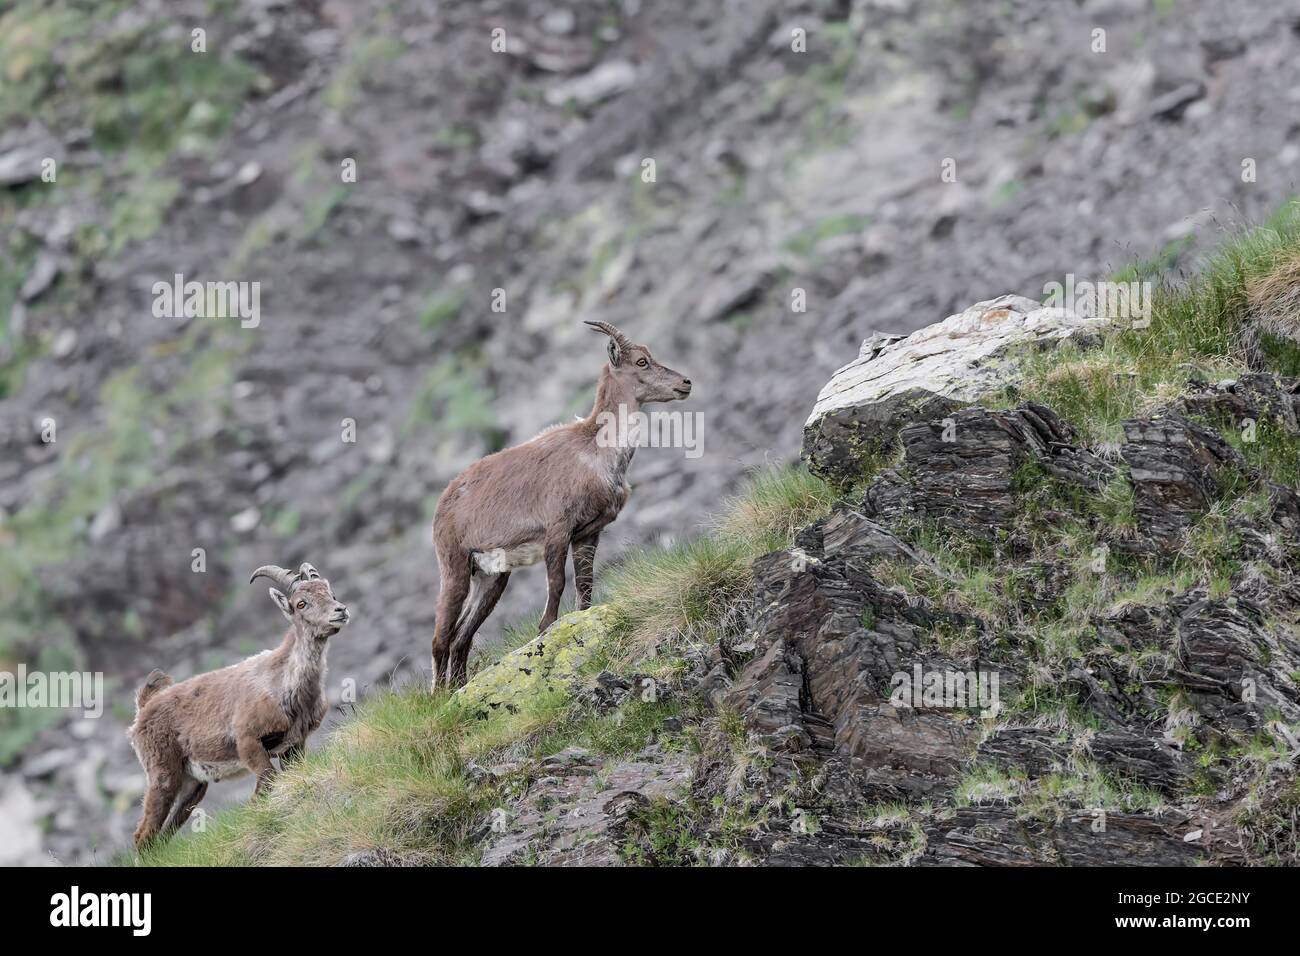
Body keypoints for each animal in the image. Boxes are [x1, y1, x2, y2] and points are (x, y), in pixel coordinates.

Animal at [127, 563, 349, 849]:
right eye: (301, 603)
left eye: (330, 593)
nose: (340, 610)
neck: (282, 683)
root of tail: (143, 709)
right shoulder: (247, 742)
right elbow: (266, 782)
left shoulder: (294, 745)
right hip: (162, 775)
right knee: (144, 834)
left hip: (192, 785)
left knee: (163, 835)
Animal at [429, 321, 692, 688]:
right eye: (641, 361)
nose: (685, 383)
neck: (595, 452)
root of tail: (443, 505)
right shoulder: (557, 530)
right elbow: (557, 585)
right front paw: (545, 634)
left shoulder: (588, 533)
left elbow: (585, 585)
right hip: (454, 565)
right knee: (441, 639)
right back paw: (440, 695)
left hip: (491, 575)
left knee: (461, 637)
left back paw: (459, 688)